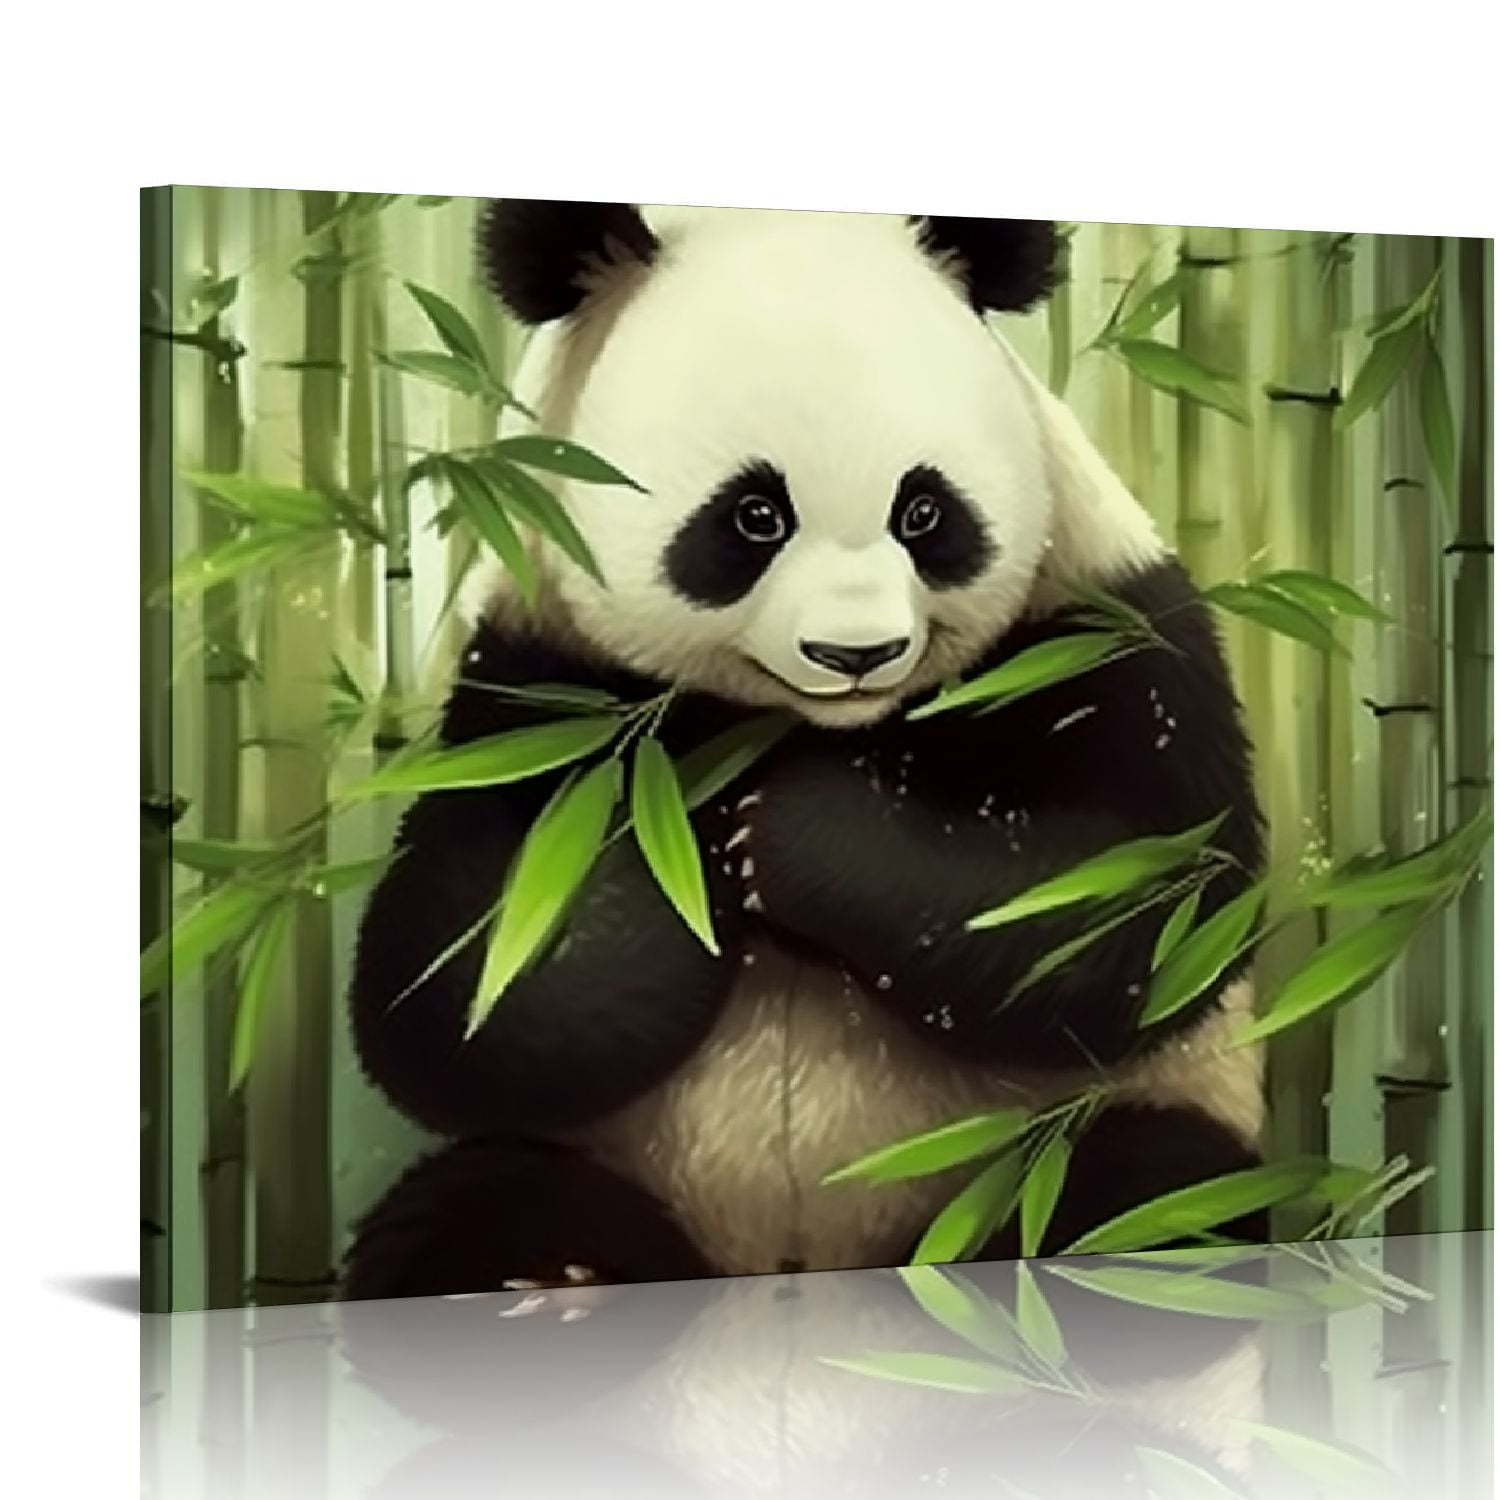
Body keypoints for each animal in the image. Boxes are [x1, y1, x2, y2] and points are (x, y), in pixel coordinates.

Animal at [341, 200, 1267, 1305]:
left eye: (924, 511)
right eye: (755, 516)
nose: (856, 654)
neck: (803, 725)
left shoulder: (1104, 628)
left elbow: (1142, 897)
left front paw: (788, 838)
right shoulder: (532, 684)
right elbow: (462, 983)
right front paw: (689, 848)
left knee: (1154, 1187)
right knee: (470, 1205)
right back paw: (549, 1278)